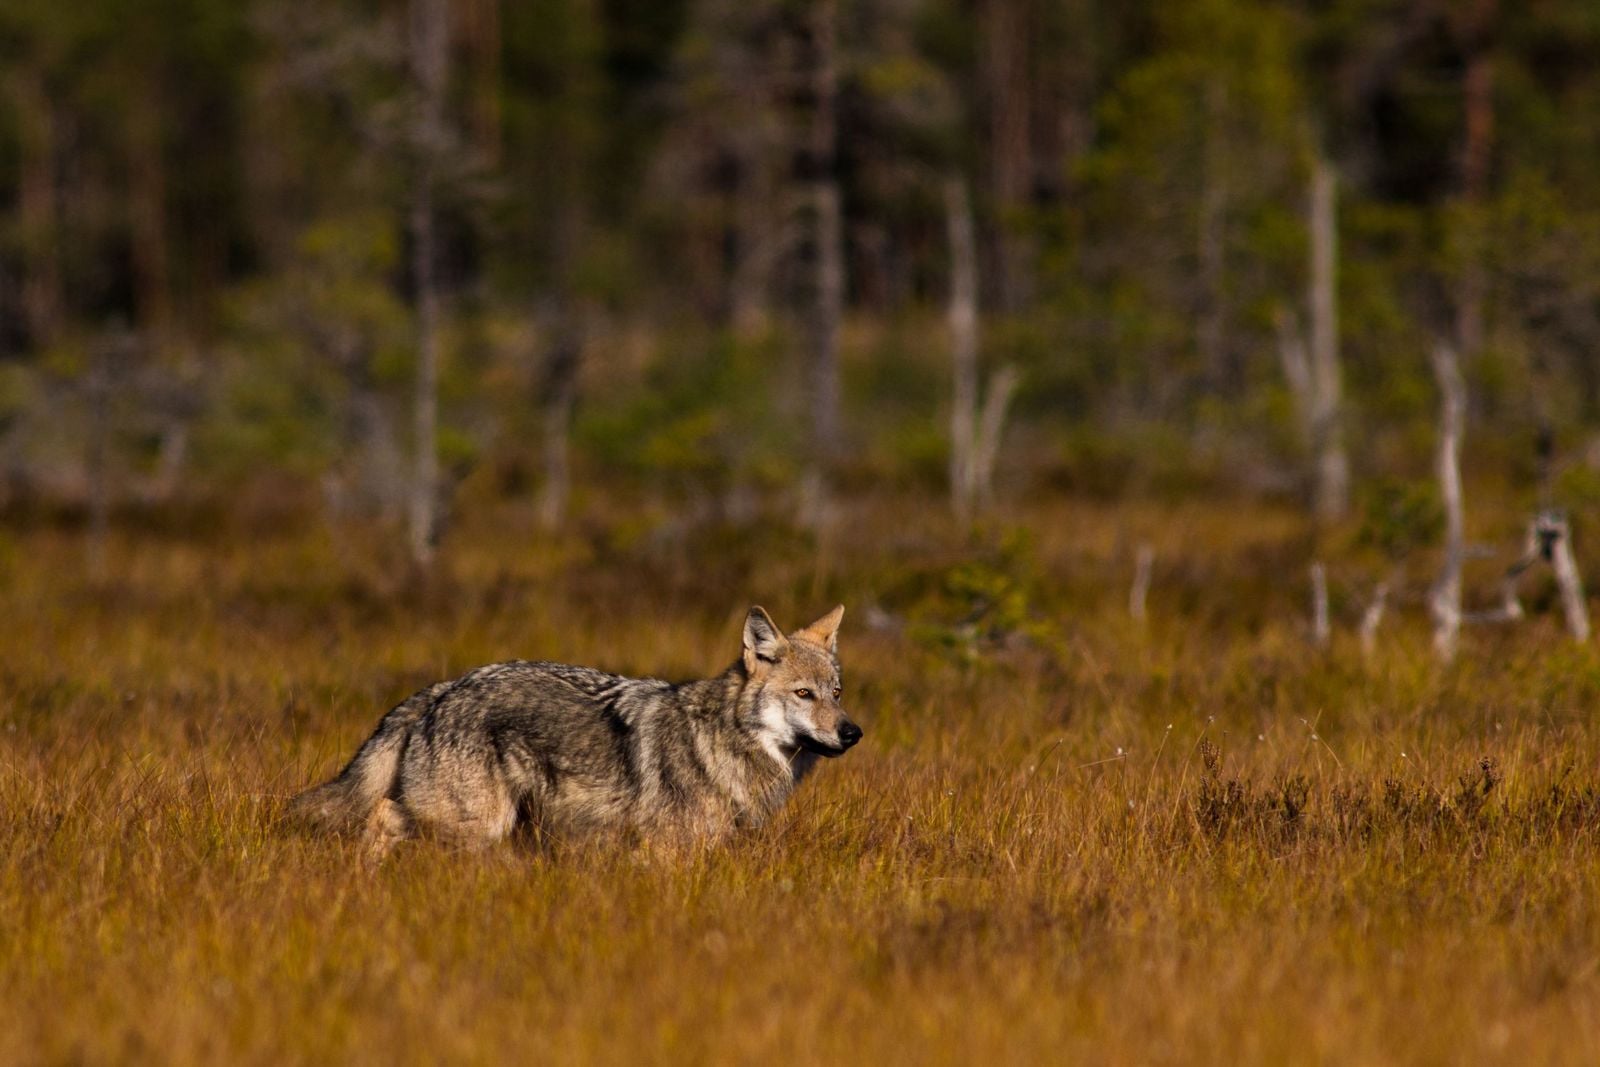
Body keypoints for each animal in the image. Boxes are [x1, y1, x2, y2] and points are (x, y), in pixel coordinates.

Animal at [290, 605, 860, 858]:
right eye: (803, 695)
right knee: (382, 816)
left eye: (836, 691)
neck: (720, 742)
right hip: (475, 823)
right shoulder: (663, 853)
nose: (852, 733)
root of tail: (443, 689)